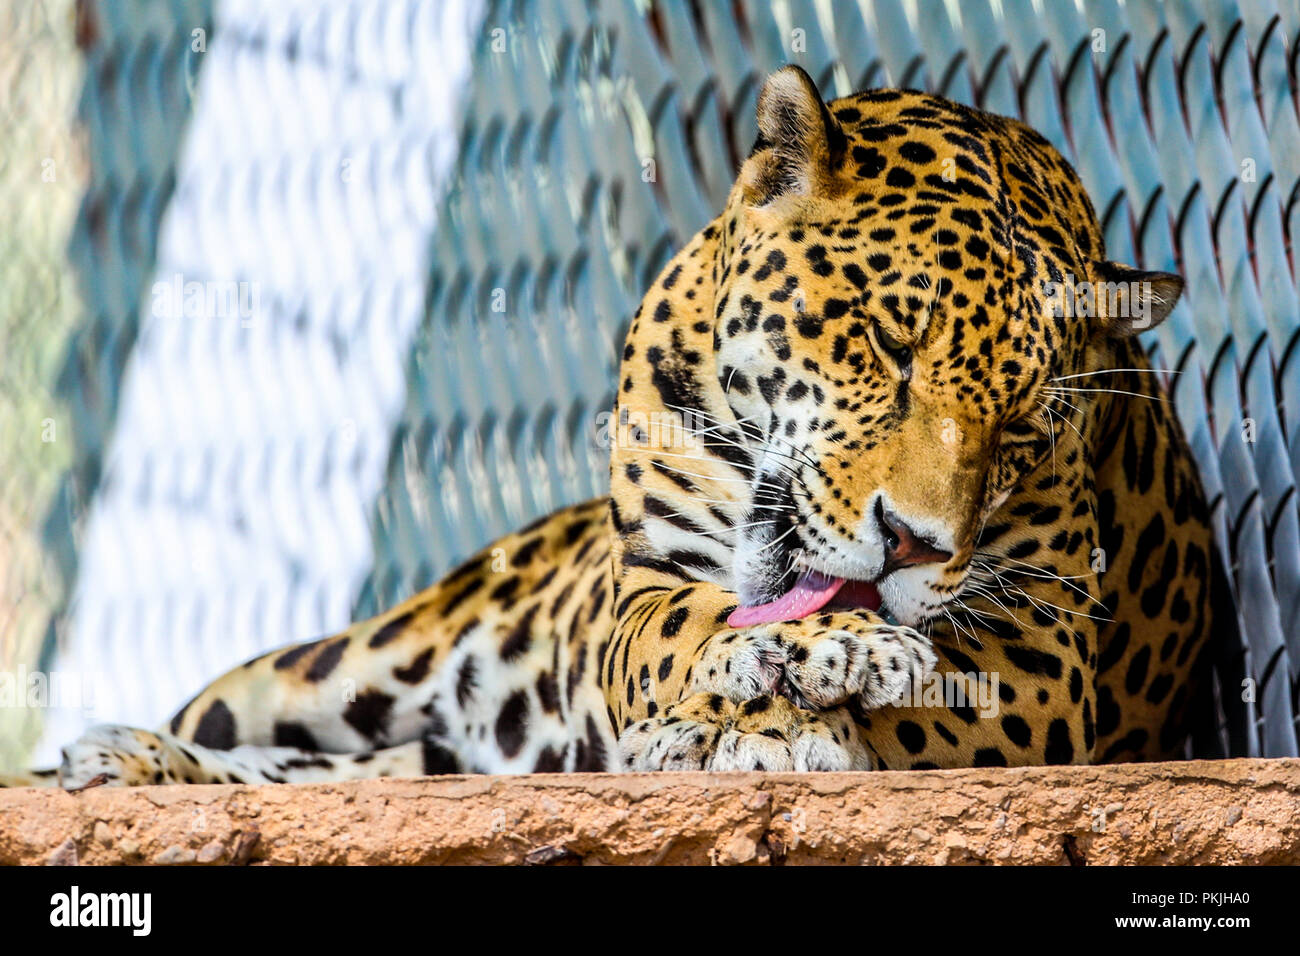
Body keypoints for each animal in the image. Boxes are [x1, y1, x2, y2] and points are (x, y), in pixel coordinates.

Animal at [4, 66, 1223, 788]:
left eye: (1020, 433)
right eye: (885, 340)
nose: (916, 544)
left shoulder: (1036, 661)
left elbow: (893, 689)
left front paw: (793, 710)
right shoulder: (644, 576)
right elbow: (687, 629)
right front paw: (783, 676)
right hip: (337, 667)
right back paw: (124, 756)